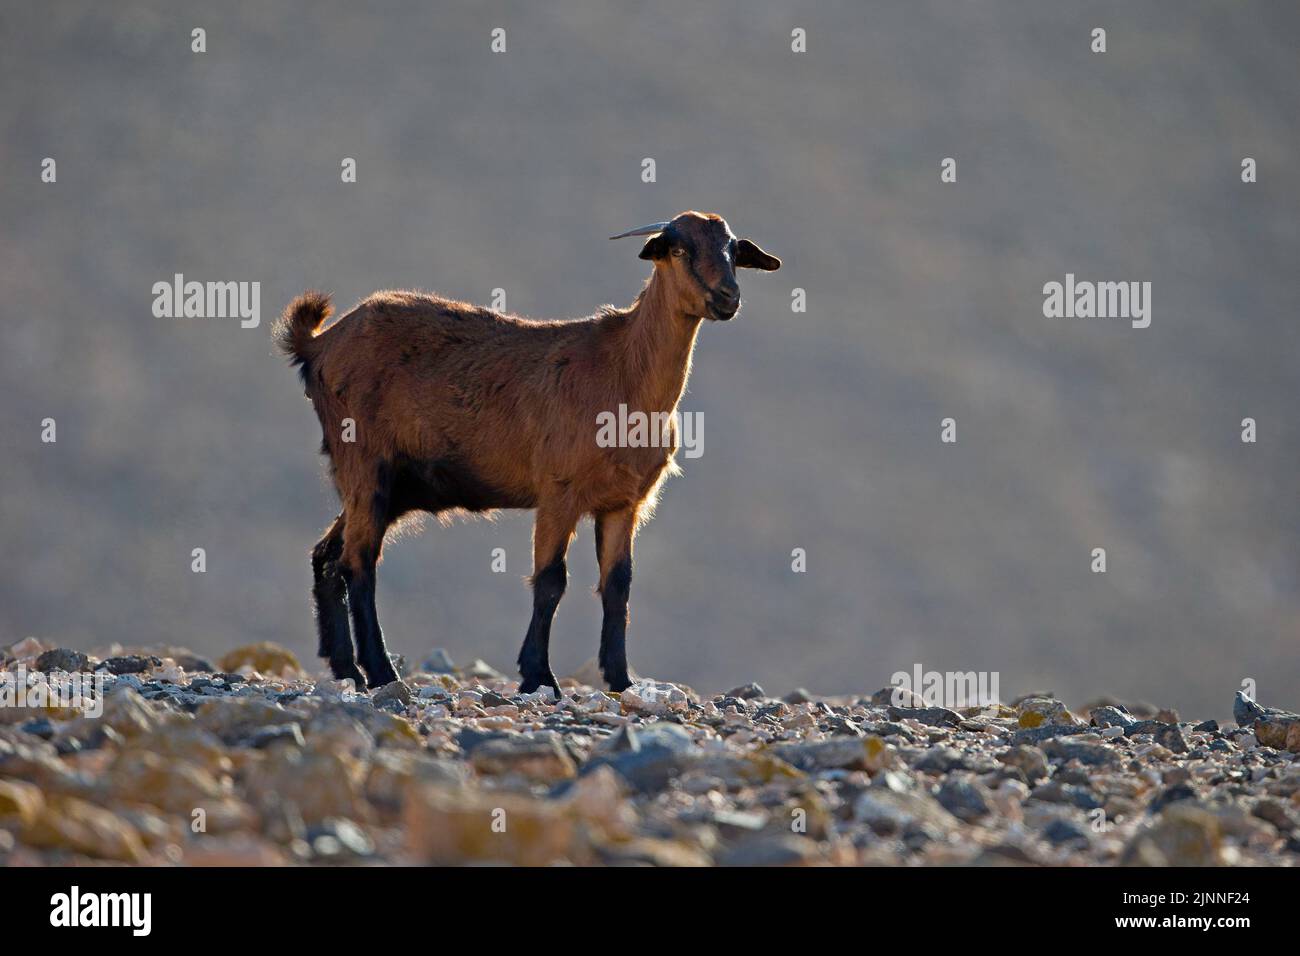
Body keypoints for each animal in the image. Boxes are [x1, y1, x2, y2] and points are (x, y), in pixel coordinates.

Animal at [274, 211, 780, 695]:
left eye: (733, 249)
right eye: (678, 248)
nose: (728, 297)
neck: (622, 372)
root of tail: (318, 343)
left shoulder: (625, 502)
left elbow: (618, 586)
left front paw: (620, 679)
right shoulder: (558, 491)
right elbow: (551, 580)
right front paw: (539, 676)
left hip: (394, 486)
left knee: (328, 555)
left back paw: (348, 670)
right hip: (365, 463)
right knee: (358, 562)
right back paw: (380, 672)